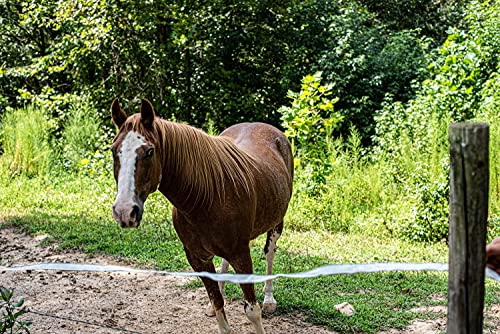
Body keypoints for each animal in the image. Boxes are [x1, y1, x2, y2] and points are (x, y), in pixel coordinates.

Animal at [109, 98, 292, 332]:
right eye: (114, 150)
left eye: (149, 151)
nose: (125, 211)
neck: (205, 198)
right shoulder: (197, 258)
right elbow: (217, 302)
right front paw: (215, 304)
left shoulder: (241, 256)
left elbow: (252, 310)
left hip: (276, 223)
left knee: (270, 252)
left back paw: (269, 299)